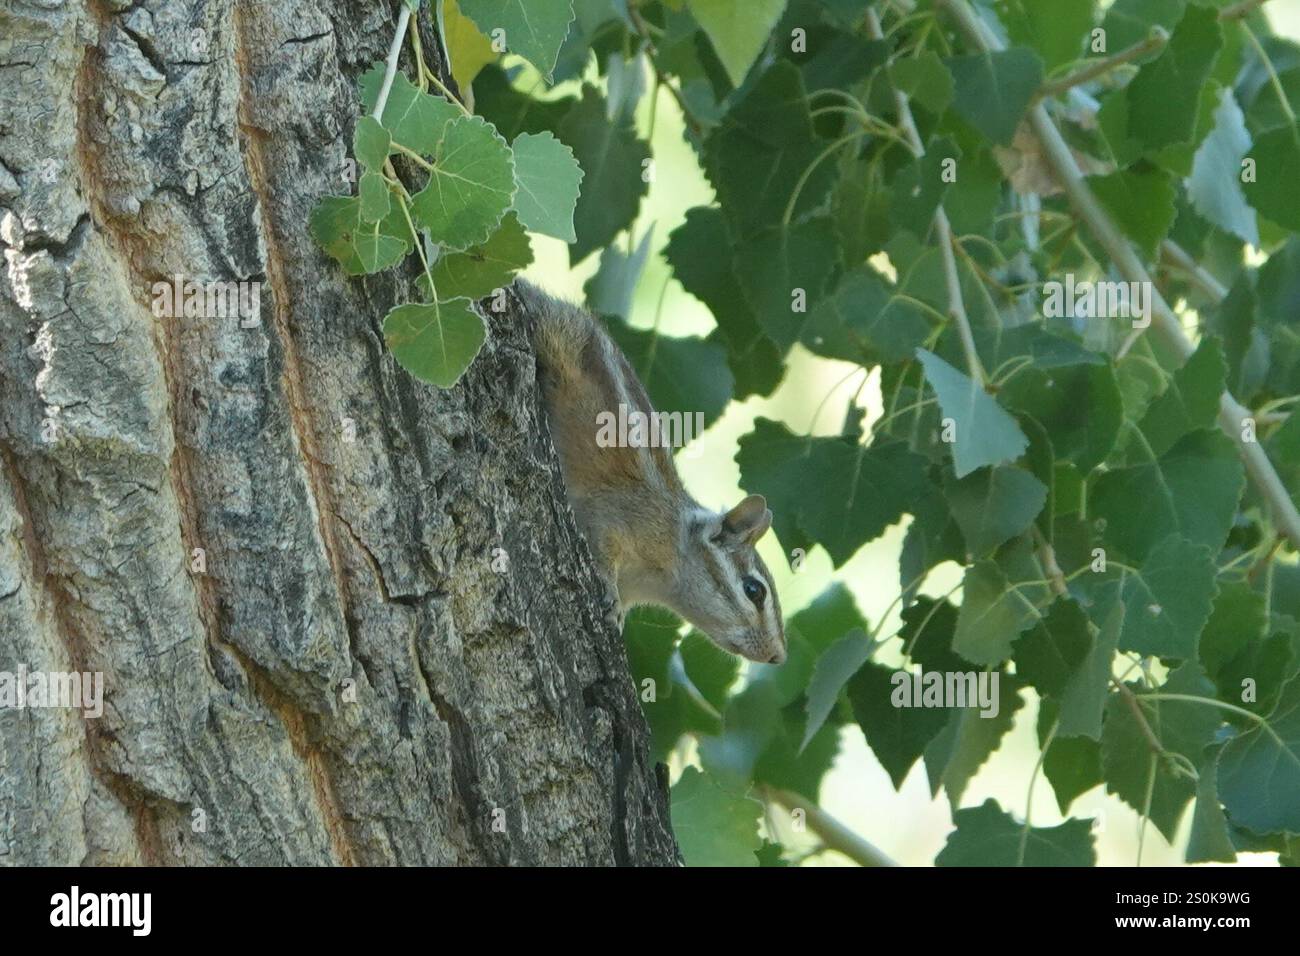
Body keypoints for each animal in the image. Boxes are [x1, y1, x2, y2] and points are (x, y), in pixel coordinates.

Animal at [516, 279, 787, 665]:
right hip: (555, 333)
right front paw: (609, 593)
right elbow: (603, 548)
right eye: (754, 590)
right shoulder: (615, 518)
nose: (778, 657)